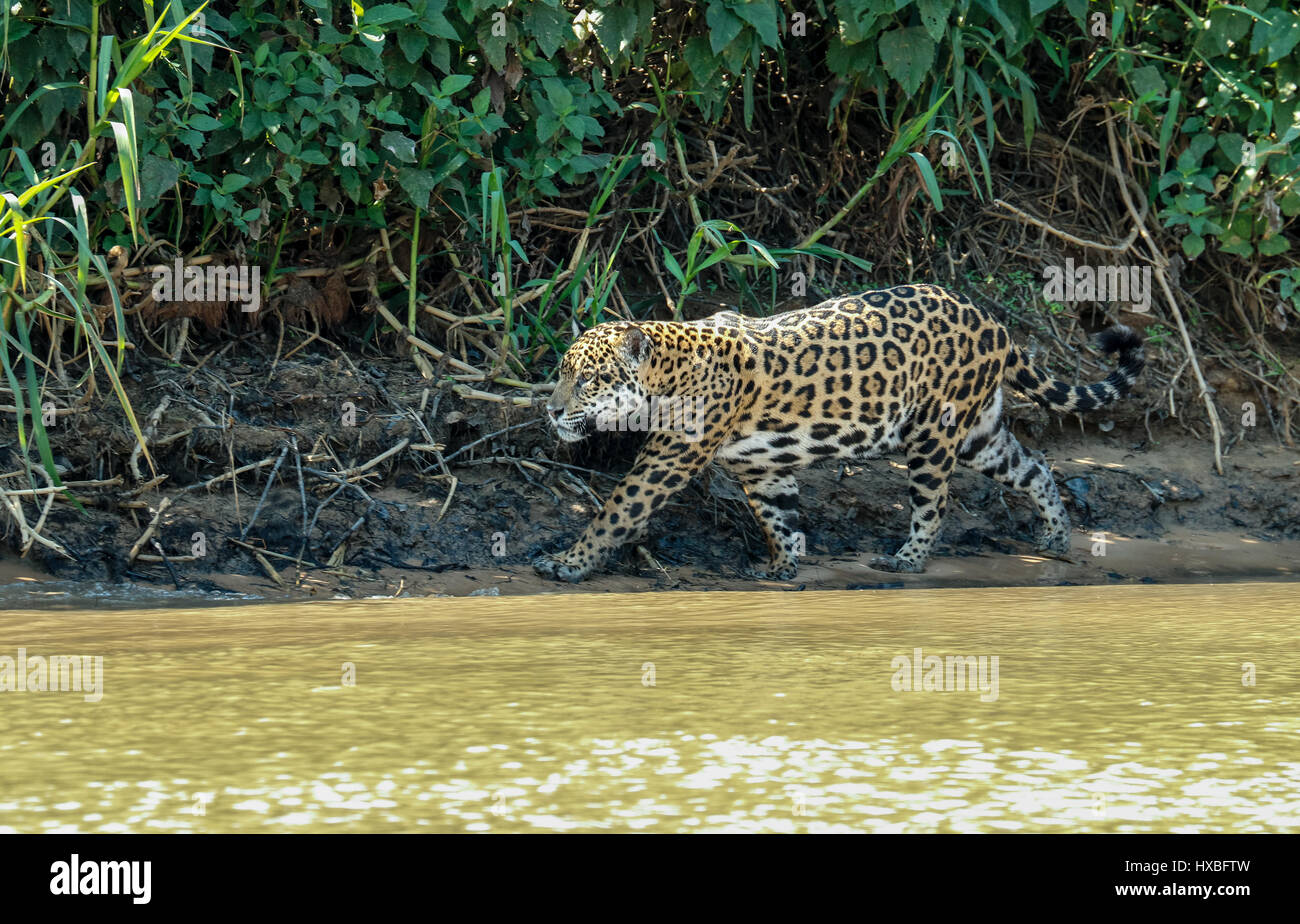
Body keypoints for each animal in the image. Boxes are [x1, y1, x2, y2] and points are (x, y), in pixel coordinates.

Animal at [532, 283, 1144, 583]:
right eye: (561, 372)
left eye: (587, 380)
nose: (551, 412)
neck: (667, 370)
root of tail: (988, 316)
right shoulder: (762, 467)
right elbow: (779, 517)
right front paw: (782, 566)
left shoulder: (669, 459)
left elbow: (617, 511)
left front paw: (568, 562)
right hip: (979, 435)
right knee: (1034, 465)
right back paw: (1057, 535)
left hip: (932, 433)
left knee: (936, 502)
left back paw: (908, 559)